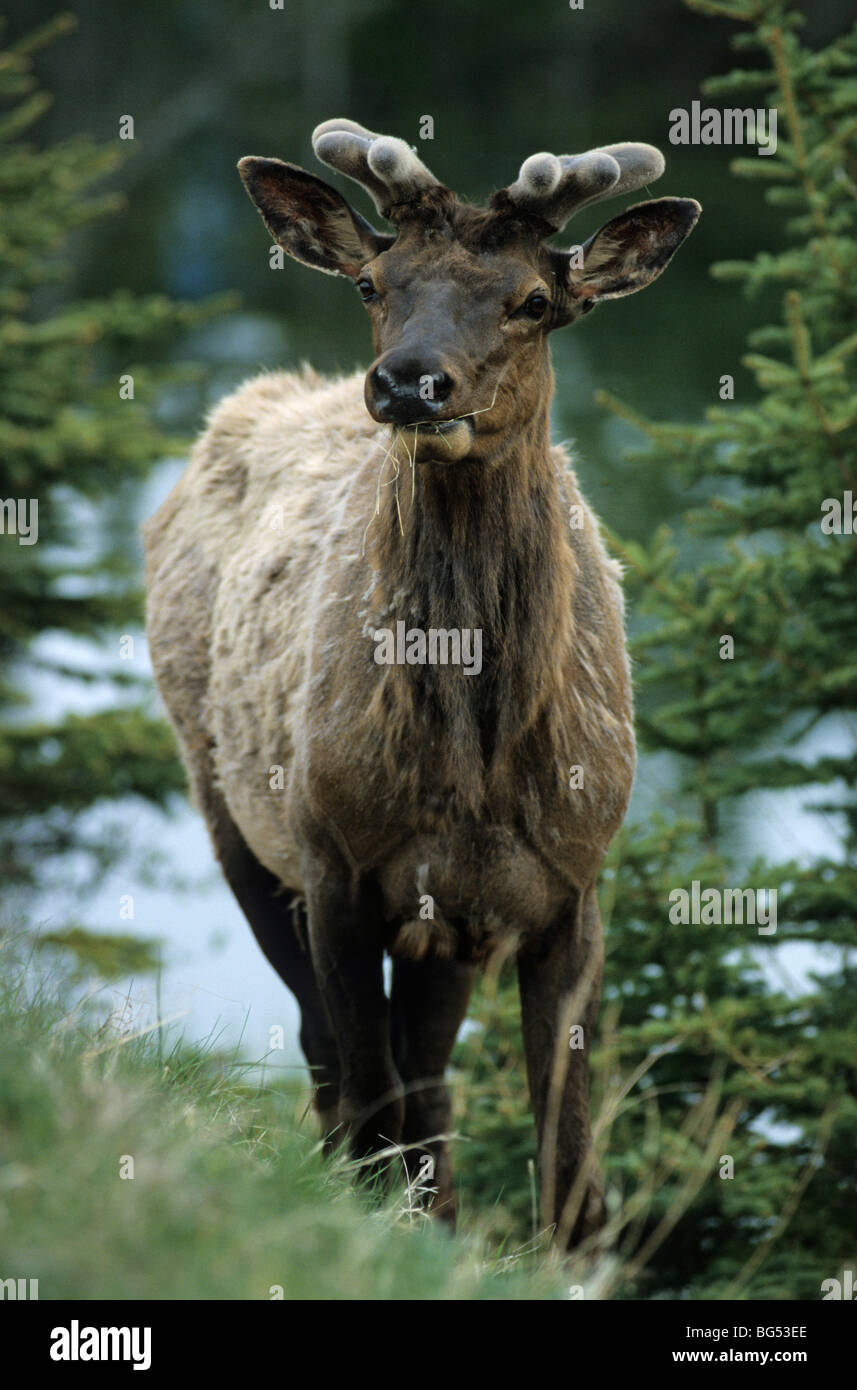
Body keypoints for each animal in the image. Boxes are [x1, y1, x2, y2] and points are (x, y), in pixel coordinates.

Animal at [143, 119, 700, 1251]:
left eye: (532, 300)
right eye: (374, 283)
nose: (408, 384)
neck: (476, 762)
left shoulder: (572, 884)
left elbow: (570, 1172)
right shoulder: (333, 859)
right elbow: (366, 1100)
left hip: (446, 919)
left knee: (428, 1078)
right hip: (232, 812)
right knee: (338, 1066)